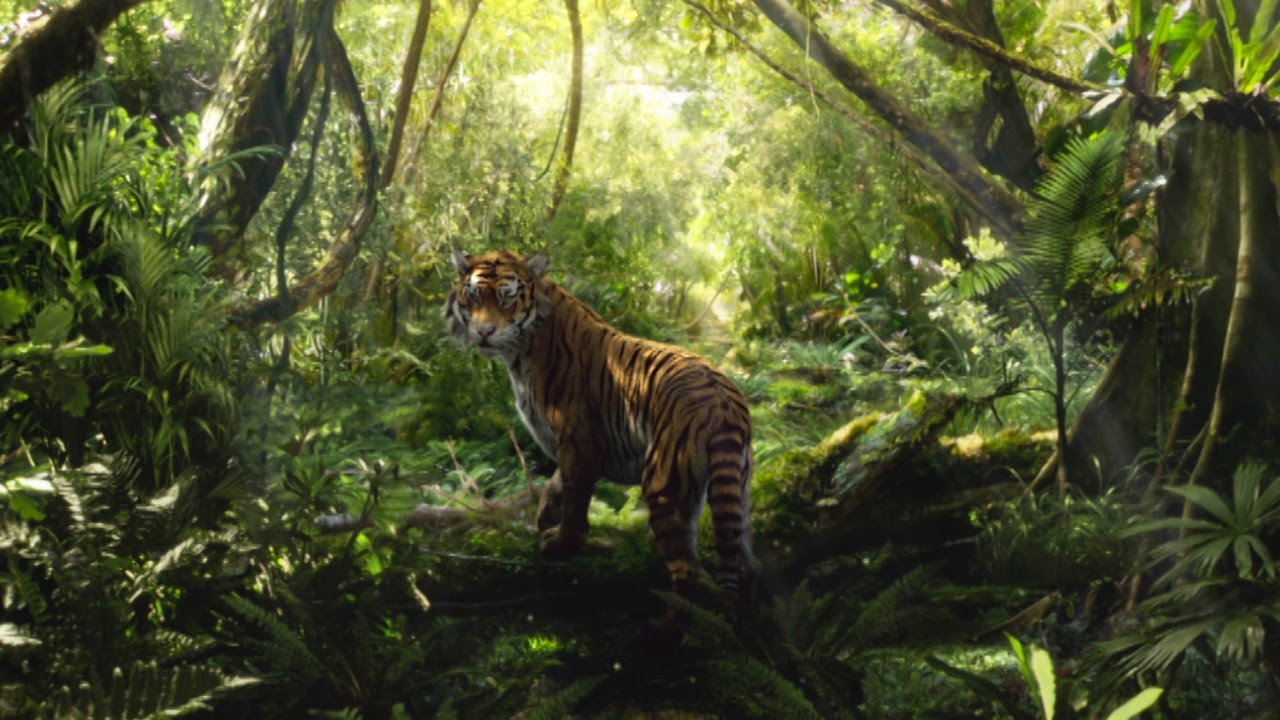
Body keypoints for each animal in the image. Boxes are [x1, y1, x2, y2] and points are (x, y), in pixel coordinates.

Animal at [444, 249, 759, 609]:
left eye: (507, 298)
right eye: (475, 296)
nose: (484, 332)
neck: (522, 351)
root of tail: (724, 403)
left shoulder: (577, 437)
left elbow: (575, 495)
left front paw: (563, 545)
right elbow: (557, 482)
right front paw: (545, 516)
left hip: (664, 486)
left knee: (688, 572)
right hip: (736, 491)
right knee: (748, 565)